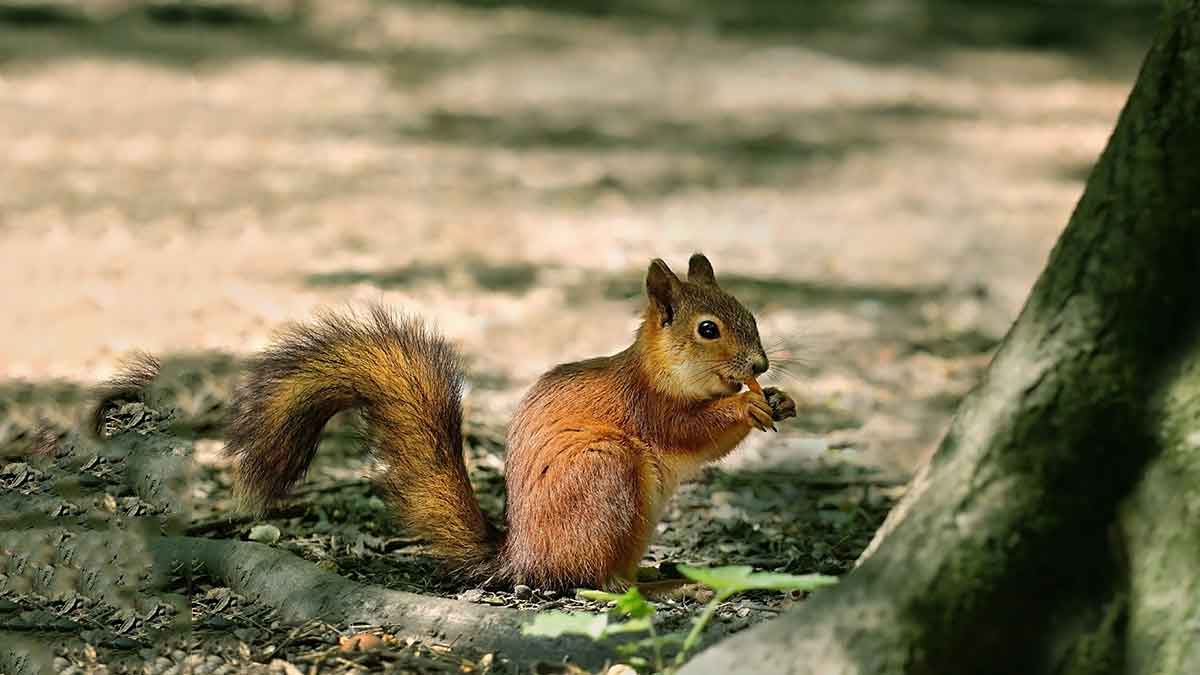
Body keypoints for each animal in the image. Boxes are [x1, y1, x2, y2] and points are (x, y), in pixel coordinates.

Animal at [225, 253, 796, 590]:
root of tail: (520, 558)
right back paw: (663, 585)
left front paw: (780, 400)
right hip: (606, 473)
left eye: (749, 313)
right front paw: (746, 406)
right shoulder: (647, 405)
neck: (660, 370)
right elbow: (690, 430)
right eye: (708, 329)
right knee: (595, 581)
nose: (759, 366)